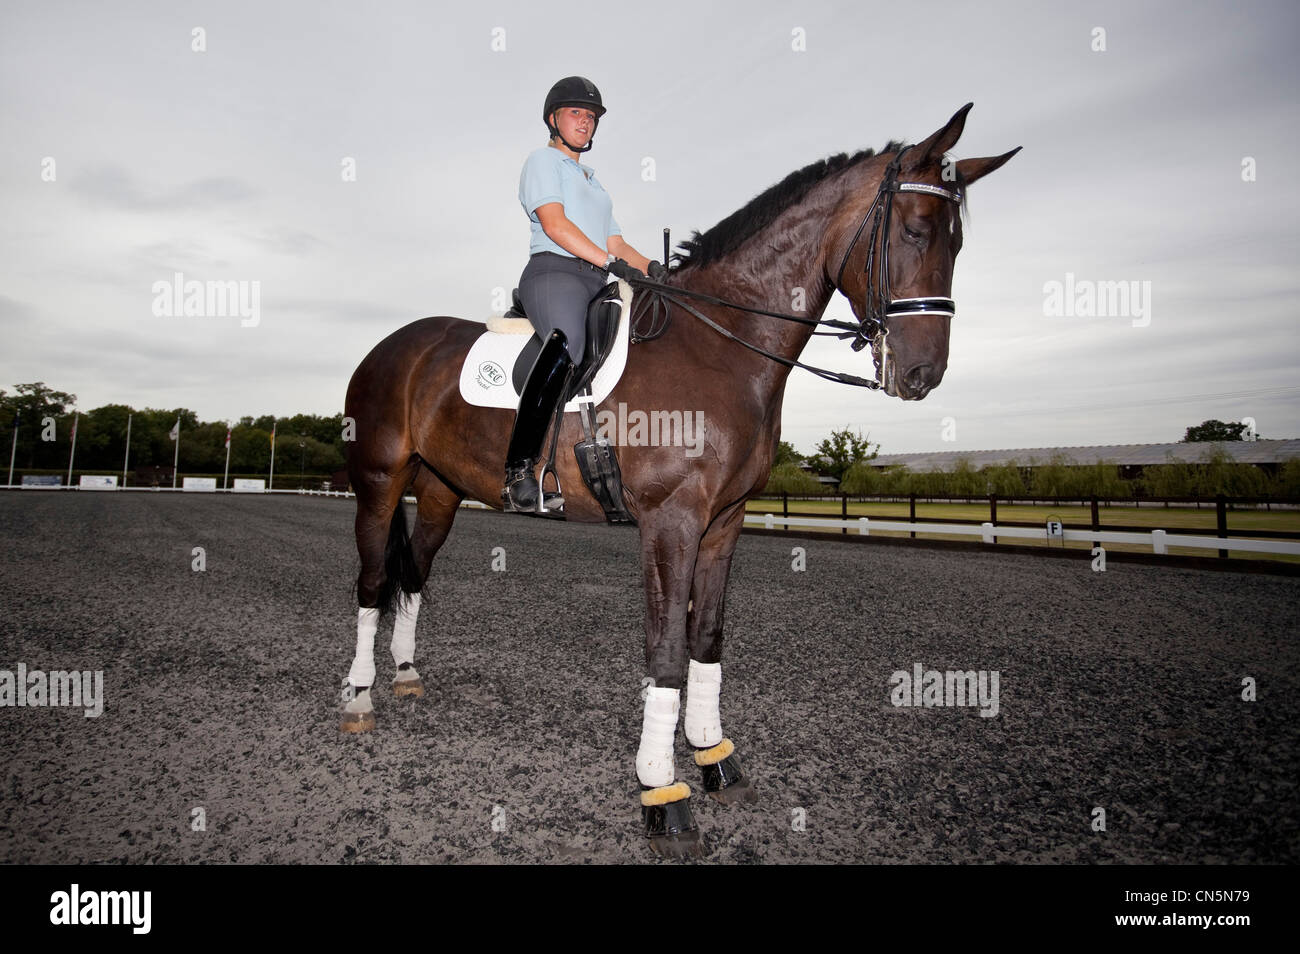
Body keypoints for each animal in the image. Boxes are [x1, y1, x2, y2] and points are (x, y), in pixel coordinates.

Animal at [338, 103, 1018, 856]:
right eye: (915, 230)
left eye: (957, 242)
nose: (923, 374)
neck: (720, 342)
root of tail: (396, 343)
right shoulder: (672, 519)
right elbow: (664, 652)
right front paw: (663, 795)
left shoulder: (724, 521)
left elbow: (707, 639)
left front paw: (715, 758)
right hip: (379, 480)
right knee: (372, 580)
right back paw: (360, 698)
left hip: (438, 490)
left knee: (415, 575)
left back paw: (405, 674)